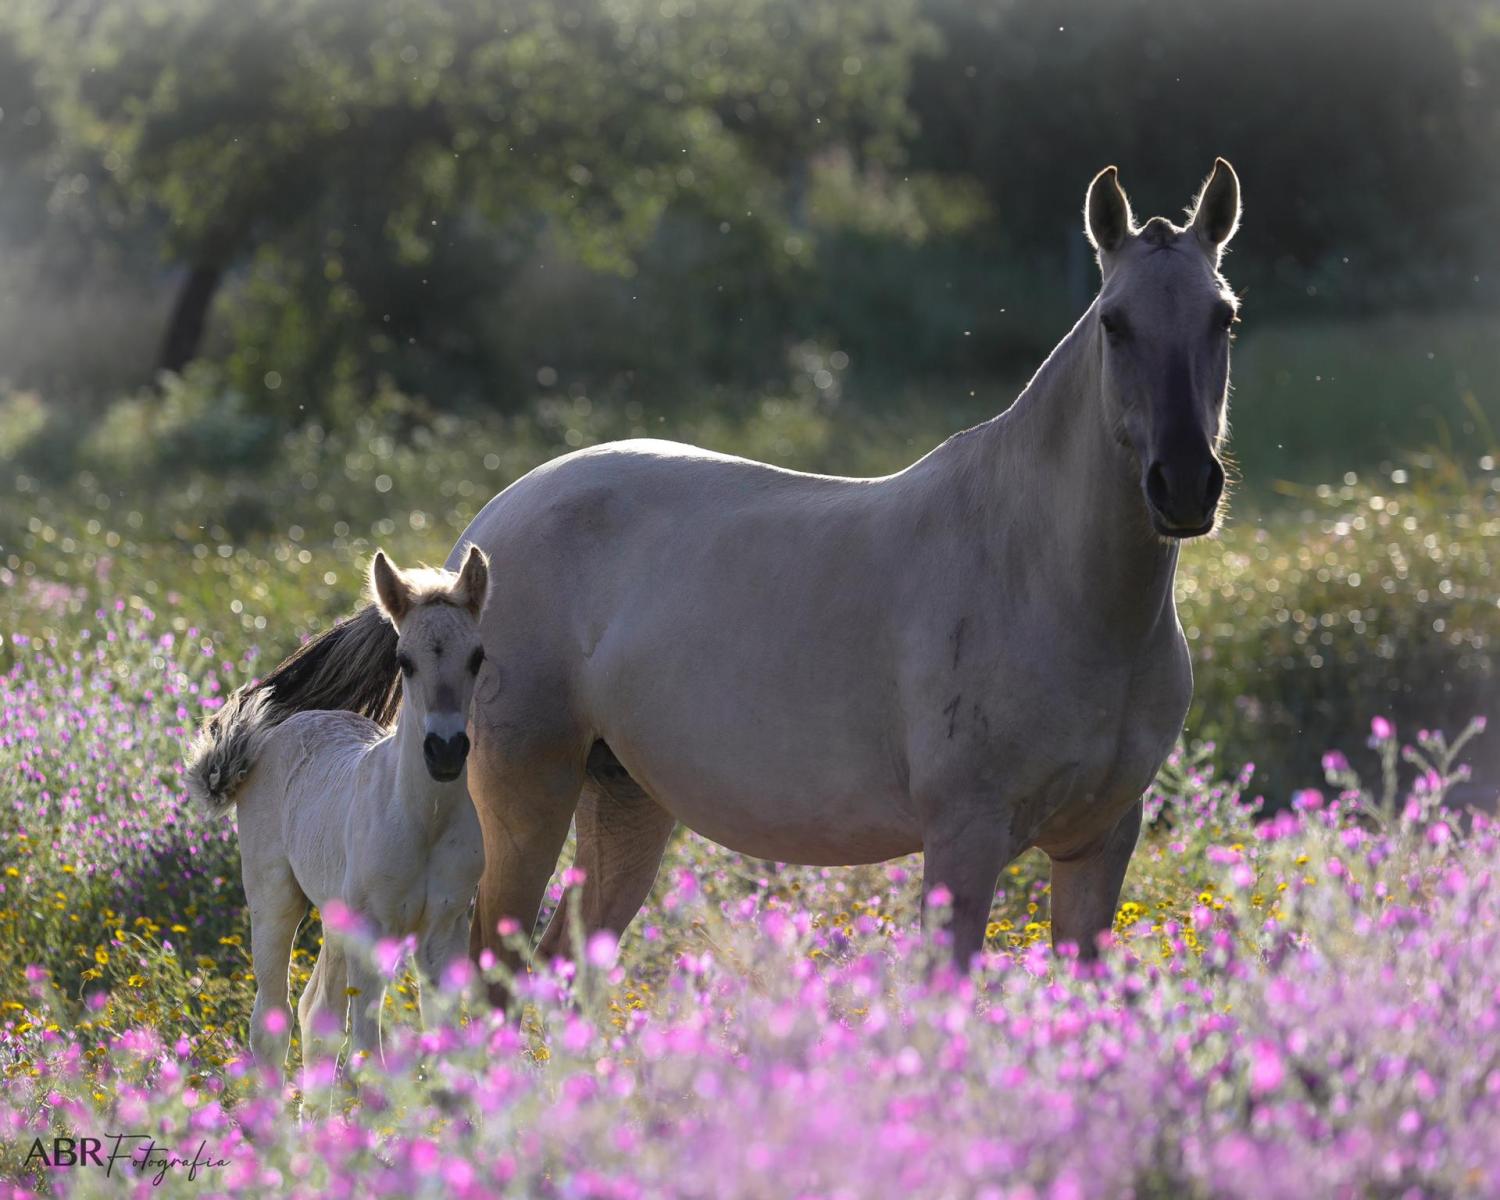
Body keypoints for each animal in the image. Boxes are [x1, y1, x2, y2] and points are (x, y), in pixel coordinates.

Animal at [186, 547, 491, 1074]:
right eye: (404, 661)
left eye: (477, 657)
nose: (446, 751)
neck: (424, 821)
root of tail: (290, 722)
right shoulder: (373, 934)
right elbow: (369, 1052)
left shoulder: (445, 933)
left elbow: (445, 1043)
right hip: (274, 898)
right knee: (274, 1018)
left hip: (333, 917)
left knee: (318, 1015)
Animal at [251, 159, 1242, 987]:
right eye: (1114, 323)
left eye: (1223, 316)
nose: (1186, 485)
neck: (1056, 590)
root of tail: (473, 547)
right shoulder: (965, 842)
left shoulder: (1099, 844)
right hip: (526, 802)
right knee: (492, 971)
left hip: (624, 803)